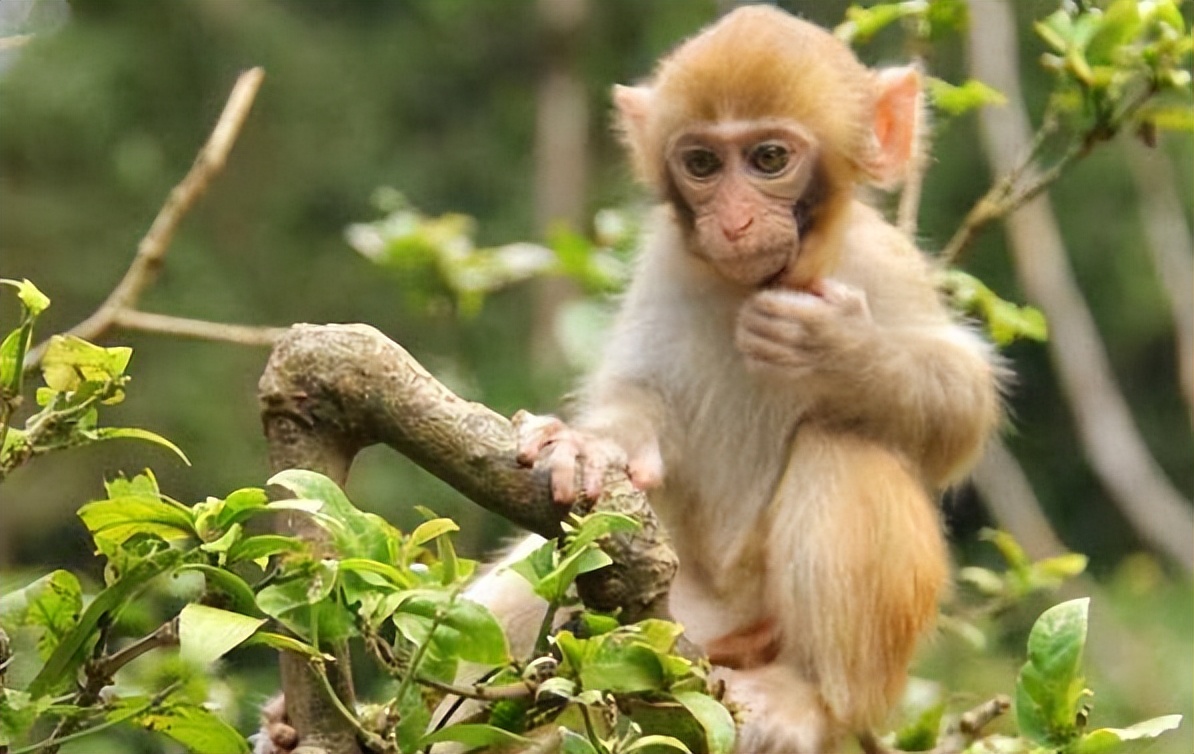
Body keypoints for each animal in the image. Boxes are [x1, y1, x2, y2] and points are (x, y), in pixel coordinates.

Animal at [261, 6, 1004, 753]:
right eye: (701, 163)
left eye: (769, 159)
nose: (734, 220)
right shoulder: (665, 264)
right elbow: (635, 402)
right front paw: (589, 446)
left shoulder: (878, 260)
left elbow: (962, 411)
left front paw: (834, 348)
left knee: (844, 443)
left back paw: (807, 697)